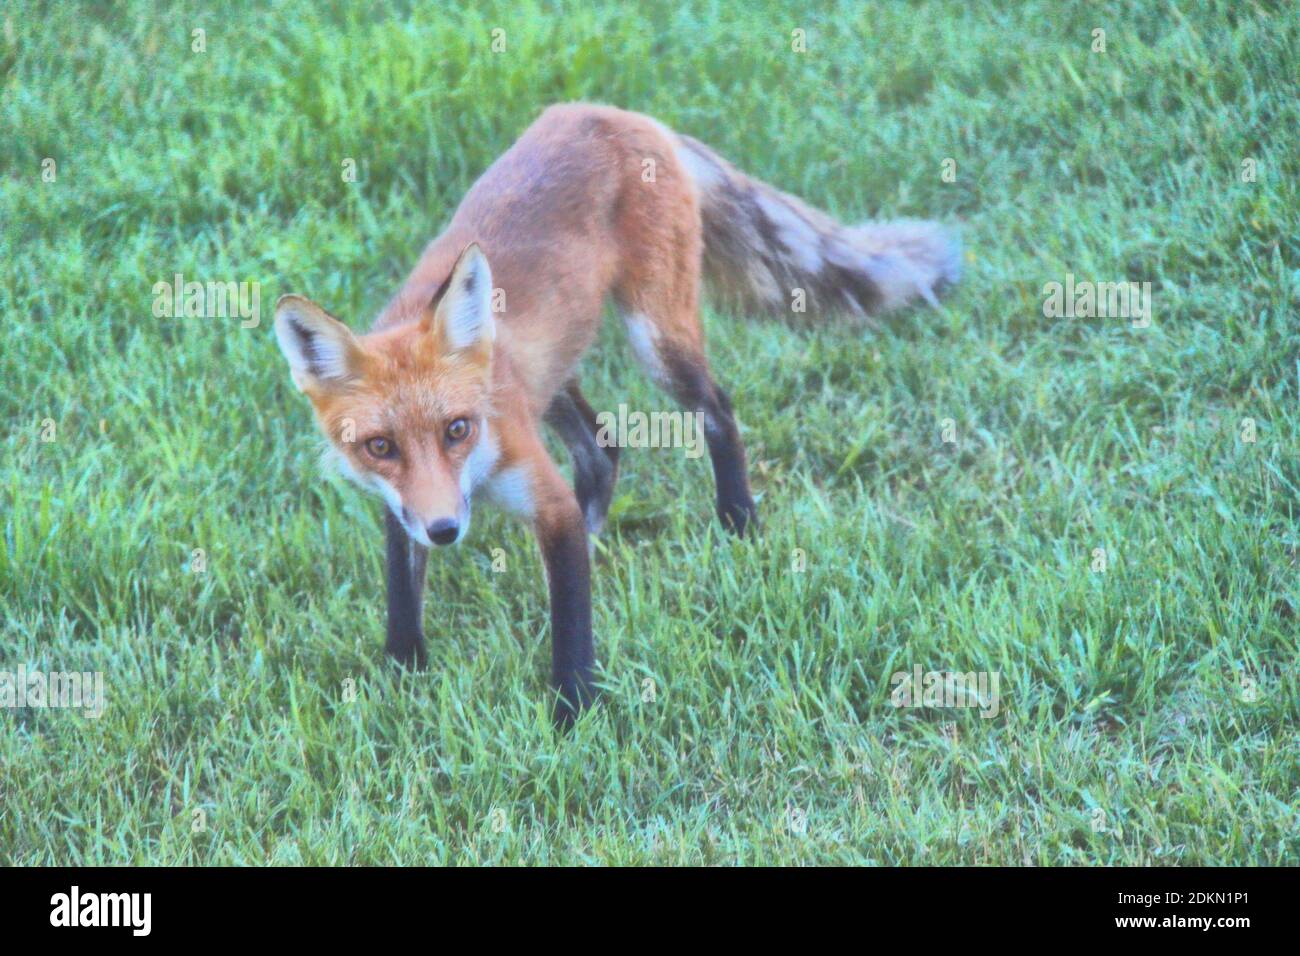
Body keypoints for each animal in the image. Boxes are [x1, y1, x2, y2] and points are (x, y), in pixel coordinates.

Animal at [273, 103, 960, 727]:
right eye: (379, 447)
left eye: (457, 430)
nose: (446, 531)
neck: (478, 476)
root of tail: (620, 113)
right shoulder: (406, 504)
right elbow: (401, 594)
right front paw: (403, 677)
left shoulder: (542, 496)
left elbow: (572, 627)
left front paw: (573, 718)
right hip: (555, 377)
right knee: (603, 445)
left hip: (655, 338)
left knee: (717, 409)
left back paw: (738, 520)